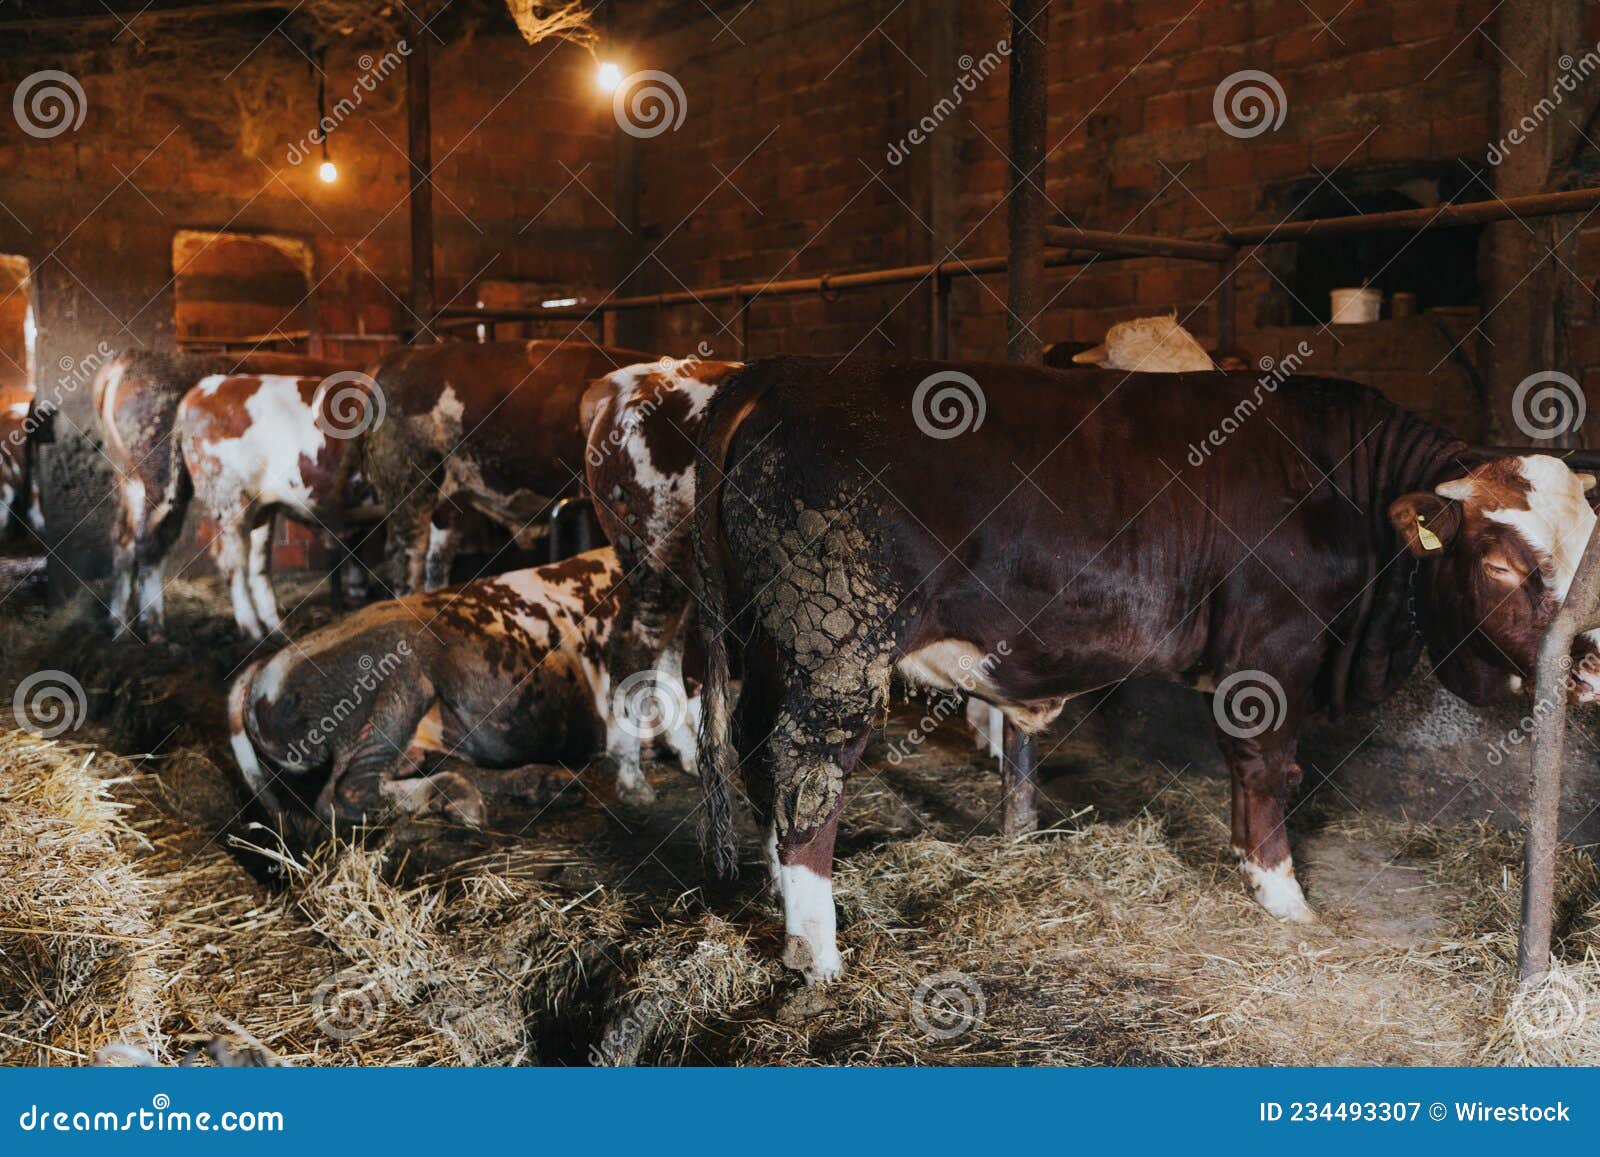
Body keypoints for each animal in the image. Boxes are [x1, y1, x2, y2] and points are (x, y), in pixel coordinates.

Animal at [93, 349, 348, 639]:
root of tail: (128, 360)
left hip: (130, 481)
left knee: (123, 539)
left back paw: (121, 626)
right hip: (163, 481)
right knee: (150, 542)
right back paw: (157, 629)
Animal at [176, 373, 376, 640]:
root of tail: (205, 387)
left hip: (261, 509)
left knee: (258, 564)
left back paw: (277, 626)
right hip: (229, 501)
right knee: (232, 563)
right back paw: (252, 629)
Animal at [581, 357, 743, 800]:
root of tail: (621, 381)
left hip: (683, 563)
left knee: (666, 654)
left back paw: (688, 755)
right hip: (656, 549)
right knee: (634, 646)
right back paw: (630, 776)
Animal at [692, 357, 1600, 982]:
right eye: (1503, 566)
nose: (1588, 658)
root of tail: (782, 374)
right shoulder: (1273, 648)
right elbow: (1266, 766)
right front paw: (1283, 895)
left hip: (769, 643)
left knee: (759, 753)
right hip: (837, 652)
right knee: (808, 770)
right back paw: (818, 950)